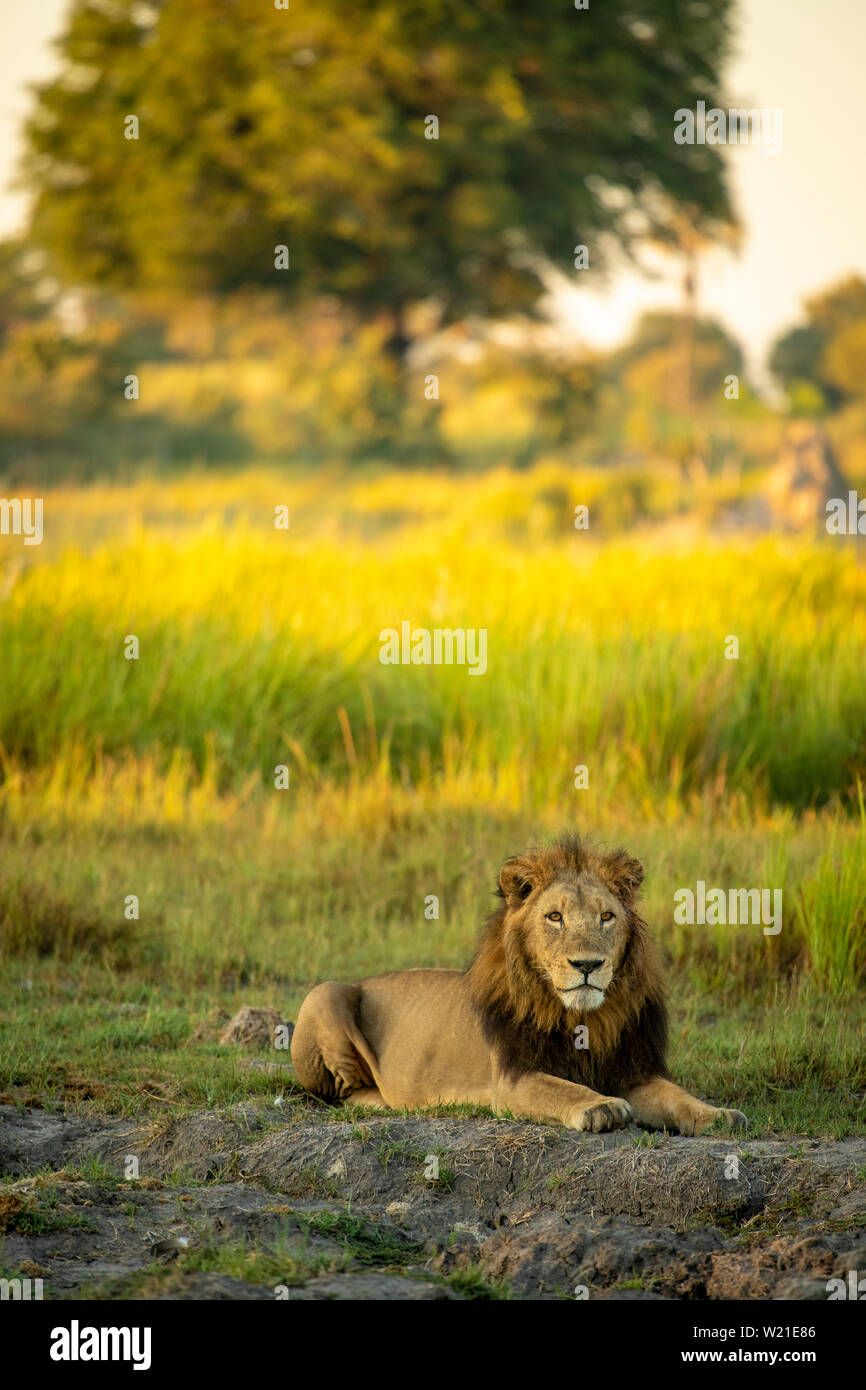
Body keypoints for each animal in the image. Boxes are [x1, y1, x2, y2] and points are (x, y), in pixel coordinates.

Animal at [290, 836, 747, 1135]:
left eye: (606, 917)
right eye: (555, 917)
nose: (587, 964)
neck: (583, 1020)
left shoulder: (634, 1070)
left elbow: (677, 1096)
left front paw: (719, 1114)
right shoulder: (513, 1079)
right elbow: (561, 1088)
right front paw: (600, 1105)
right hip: (324, 993)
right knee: (342, 1092)